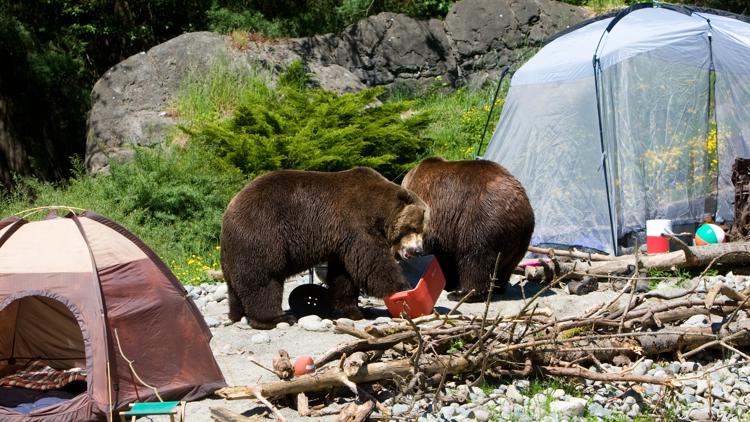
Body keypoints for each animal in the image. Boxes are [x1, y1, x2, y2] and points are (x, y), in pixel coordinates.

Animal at [220, 167, 430, 329]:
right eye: (413, 228)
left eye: (423, 230)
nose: (418, 250)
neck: (378, 211)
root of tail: (228, 212)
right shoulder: (356, 224)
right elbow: (373, 263)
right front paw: (404, 287)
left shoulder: (342, 241)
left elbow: (344, 274)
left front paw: (356, 309)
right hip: (263, 234)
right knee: (264, 280)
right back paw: (277, 318)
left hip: (236, 251)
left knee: (237, 285)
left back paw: (236, 314)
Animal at [402, 157, 534, 302]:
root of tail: (522, 209)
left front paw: (448, 284)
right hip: (521, 240)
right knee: (506, 266)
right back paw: (498, 287)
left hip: (482, 220)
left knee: (474, 258)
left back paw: (462, 294)